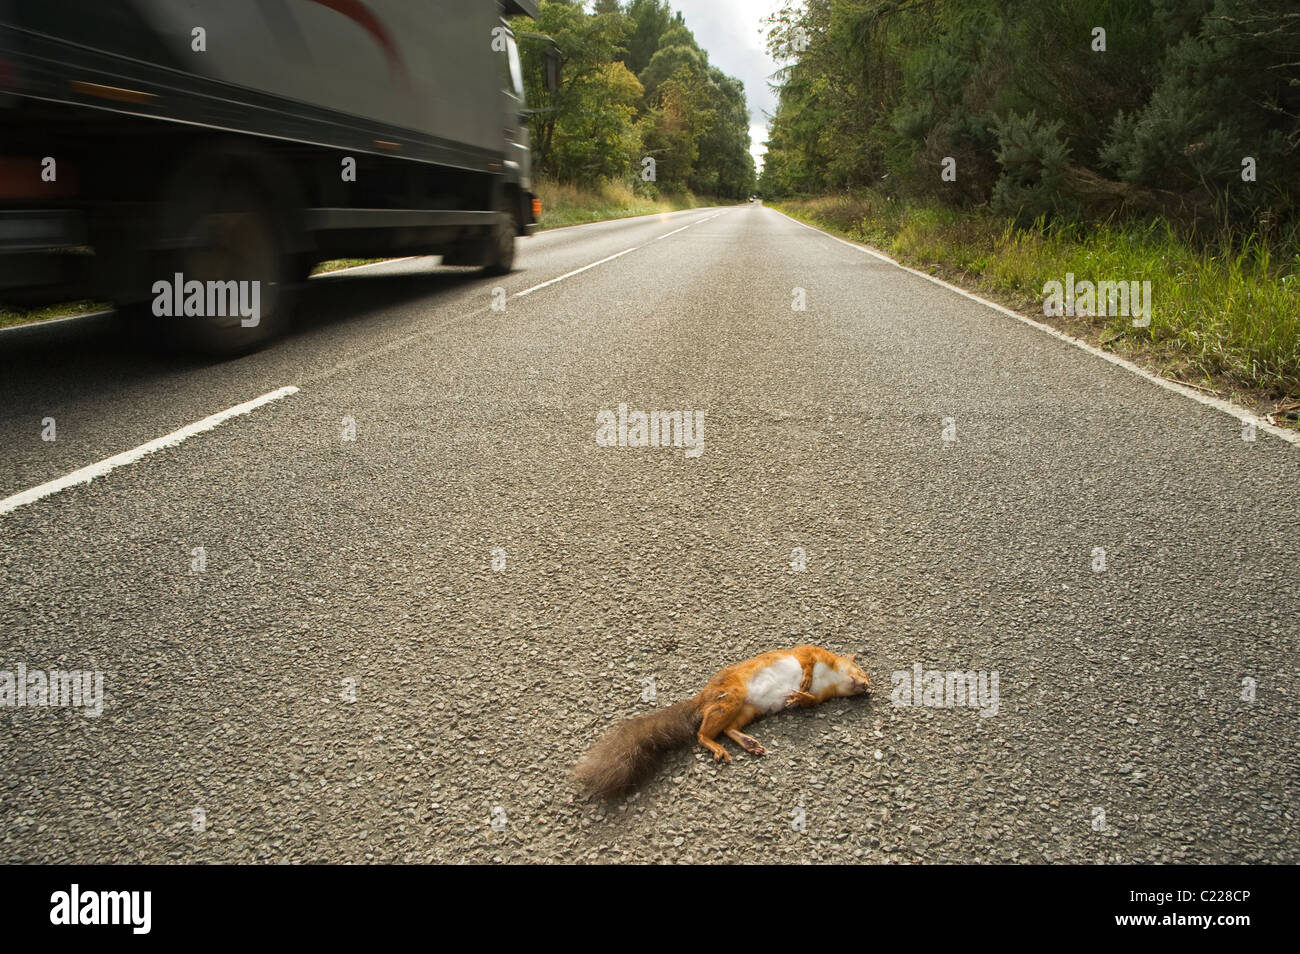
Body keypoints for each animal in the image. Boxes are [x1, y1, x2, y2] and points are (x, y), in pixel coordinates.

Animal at [574, 645, 871, 799]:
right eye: (860, 669)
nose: (868, 686)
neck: (830, 679)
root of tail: (705, 695)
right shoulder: (810, 651)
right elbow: (806, 658)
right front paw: (805, 680)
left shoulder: (820, 697)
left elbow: (810, 701)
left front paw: (800, 697)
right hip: (732, 698)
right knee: (702, 734)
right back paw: (718, 746)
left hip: (744, 710)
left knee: (727, 729)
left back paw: (749, 743)